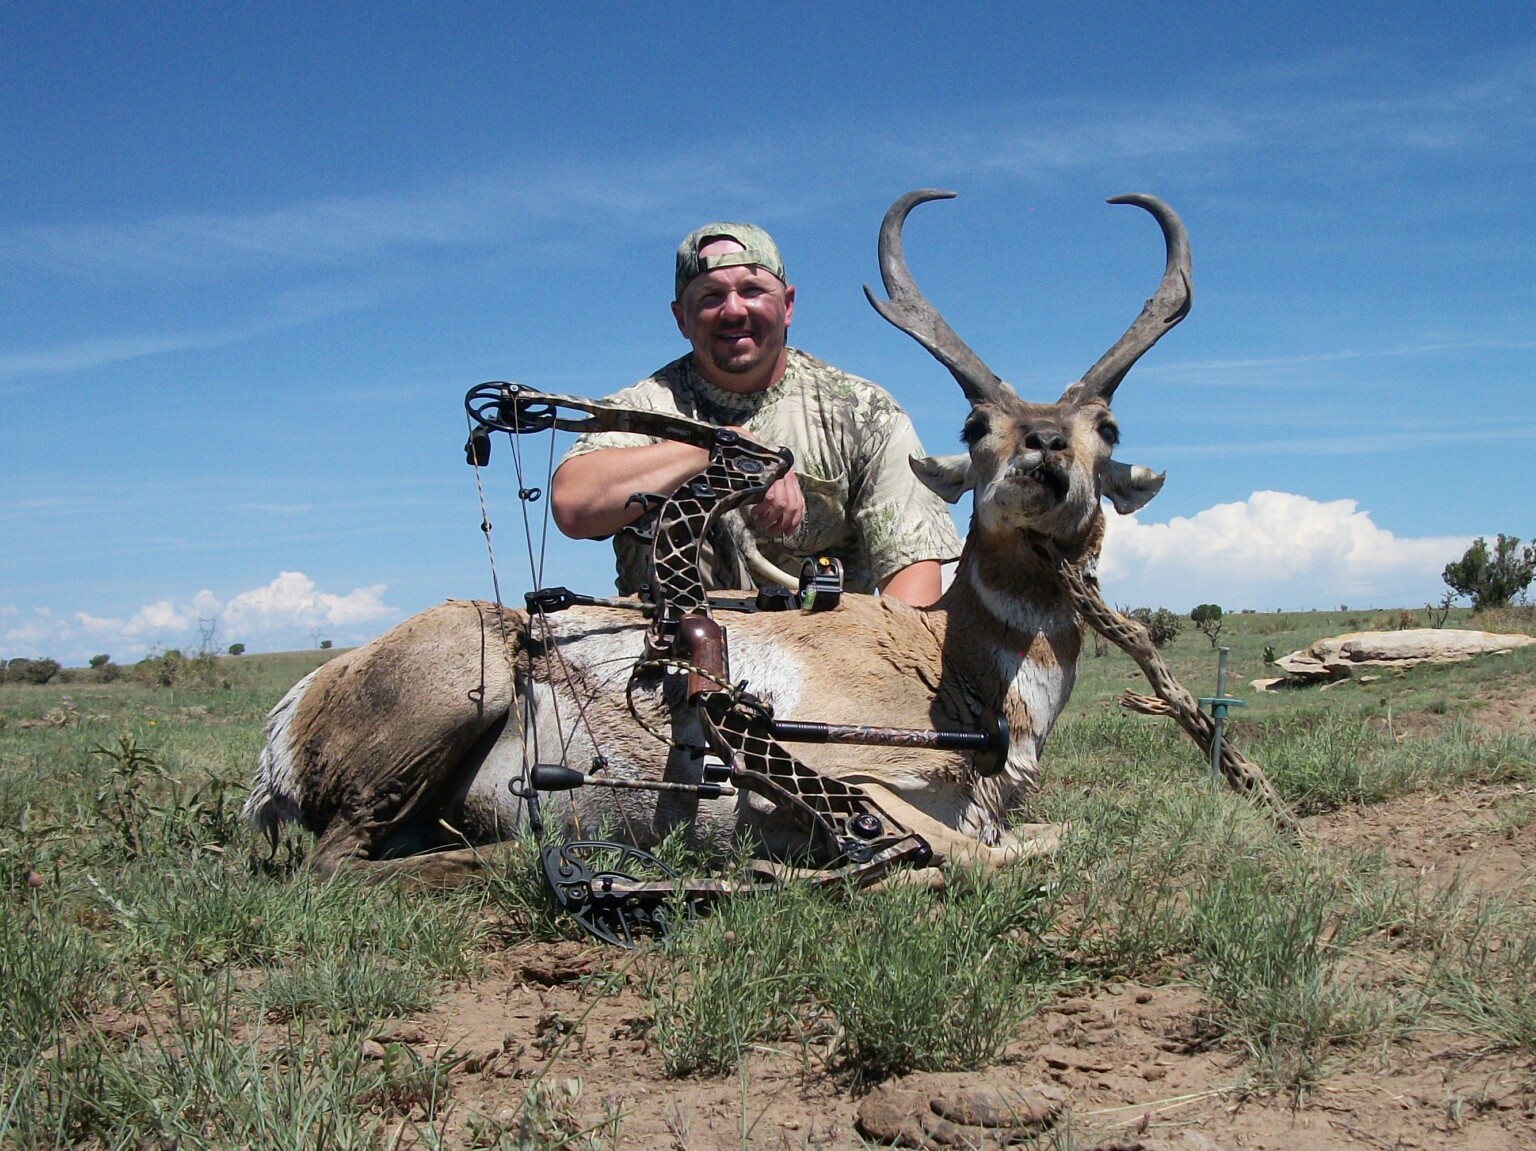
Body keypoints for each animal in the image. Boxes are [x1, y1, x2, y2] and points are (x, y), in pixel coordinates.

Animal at [244, 189, 1190, 881]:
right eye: (974, 425)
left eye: (1106, 426)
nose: (1044, 448)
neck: (948, 663)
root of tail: (294, 714)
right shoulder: (864, 778)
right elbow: (985, 850)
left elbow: (1051, 835)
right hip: (459, 686)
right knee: (333, 867)